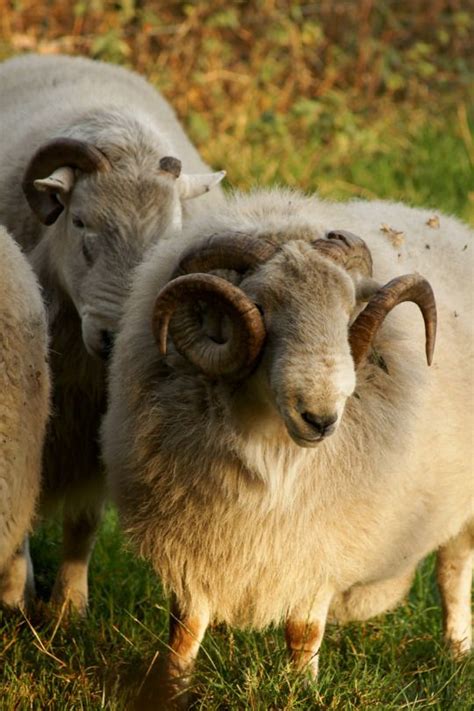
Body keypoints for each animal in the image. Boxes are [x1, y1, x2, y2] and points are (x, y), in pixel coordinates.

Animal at [0, 53, 225, 614]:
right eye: (80, 222)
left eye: (169, 238)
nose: (112, 337)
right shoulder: (32, 406)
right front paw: (17, 595)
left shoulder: (105, 418)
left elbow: (85, 518)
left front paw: (68, 607)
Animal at [102, 189, 473, 704]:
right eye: (259, 305)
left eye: (347, 310)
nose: (320, 418)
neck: (273, 450)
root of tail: (449, 222)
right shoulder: (193, 538)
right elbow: (185, 628)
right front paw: (171, 690)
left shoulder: (316, 543)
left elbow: (302, 632)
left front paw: (300, 691)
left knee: (454, 572)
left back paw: (458, 654)